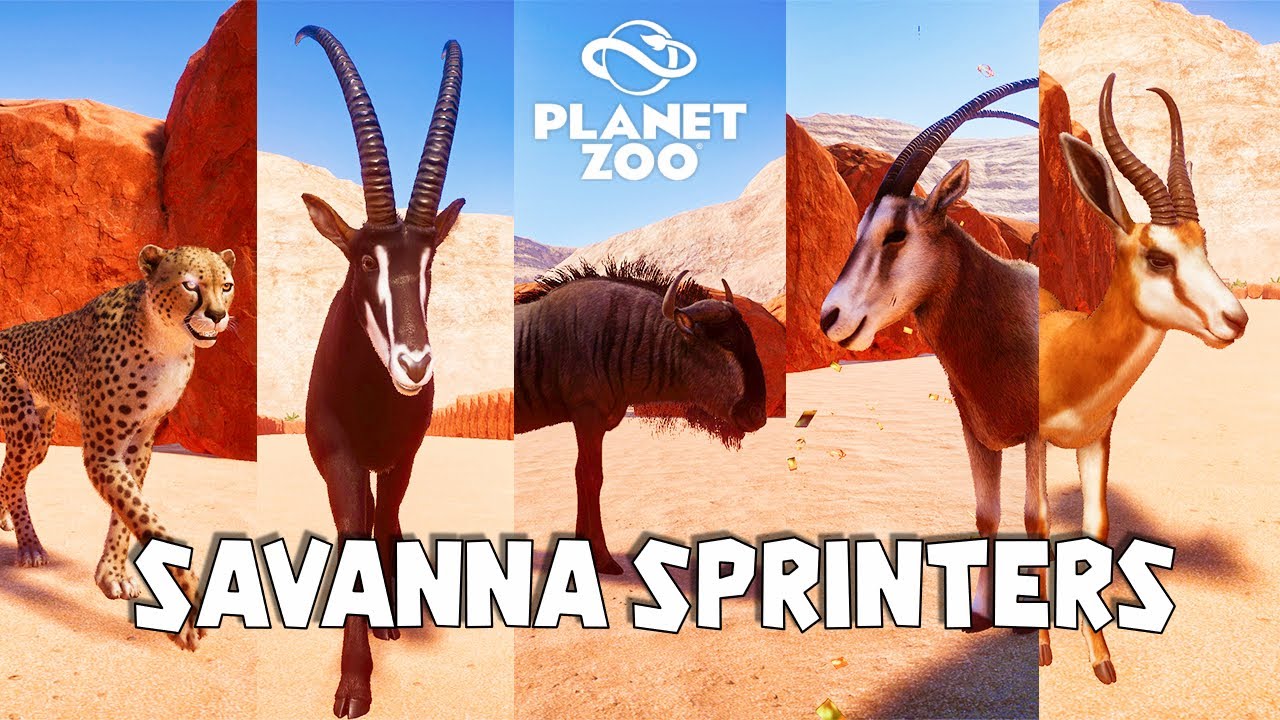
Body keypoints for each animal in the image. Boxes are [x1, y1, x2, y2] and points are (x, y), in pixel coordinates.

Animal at [0, 244, 236, 651]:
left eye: (227, 286)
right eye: (190, 285)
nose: (218, 315)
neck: (166, 340)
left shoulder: (141, 441)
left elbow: (127, 513)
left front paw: (111, 573)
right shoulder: (103, 451)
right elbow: (146, 519)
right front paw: (191, 607)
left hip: (40, 435)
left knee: (11, 474)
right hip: (25, 426)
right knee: (12, 475)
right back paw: (29, 546)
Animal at [819, 79, 1043, 633]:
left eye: (897, 234)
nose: (830, 317)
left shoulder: (1035, 434)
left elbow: (1034, 515)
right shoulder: (976, 434)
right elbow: (987, 513)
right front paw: (981, 610)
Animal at [1040, 73, 1247, 683]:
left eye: (1204, 243)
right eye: (1158, 257)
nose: (1236, 319)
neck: (1070, 351)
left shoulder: (1097, 440)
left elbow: (1095, 531)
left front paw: (1101, 658)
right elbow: (1039, 525)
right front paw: (1042, 647)